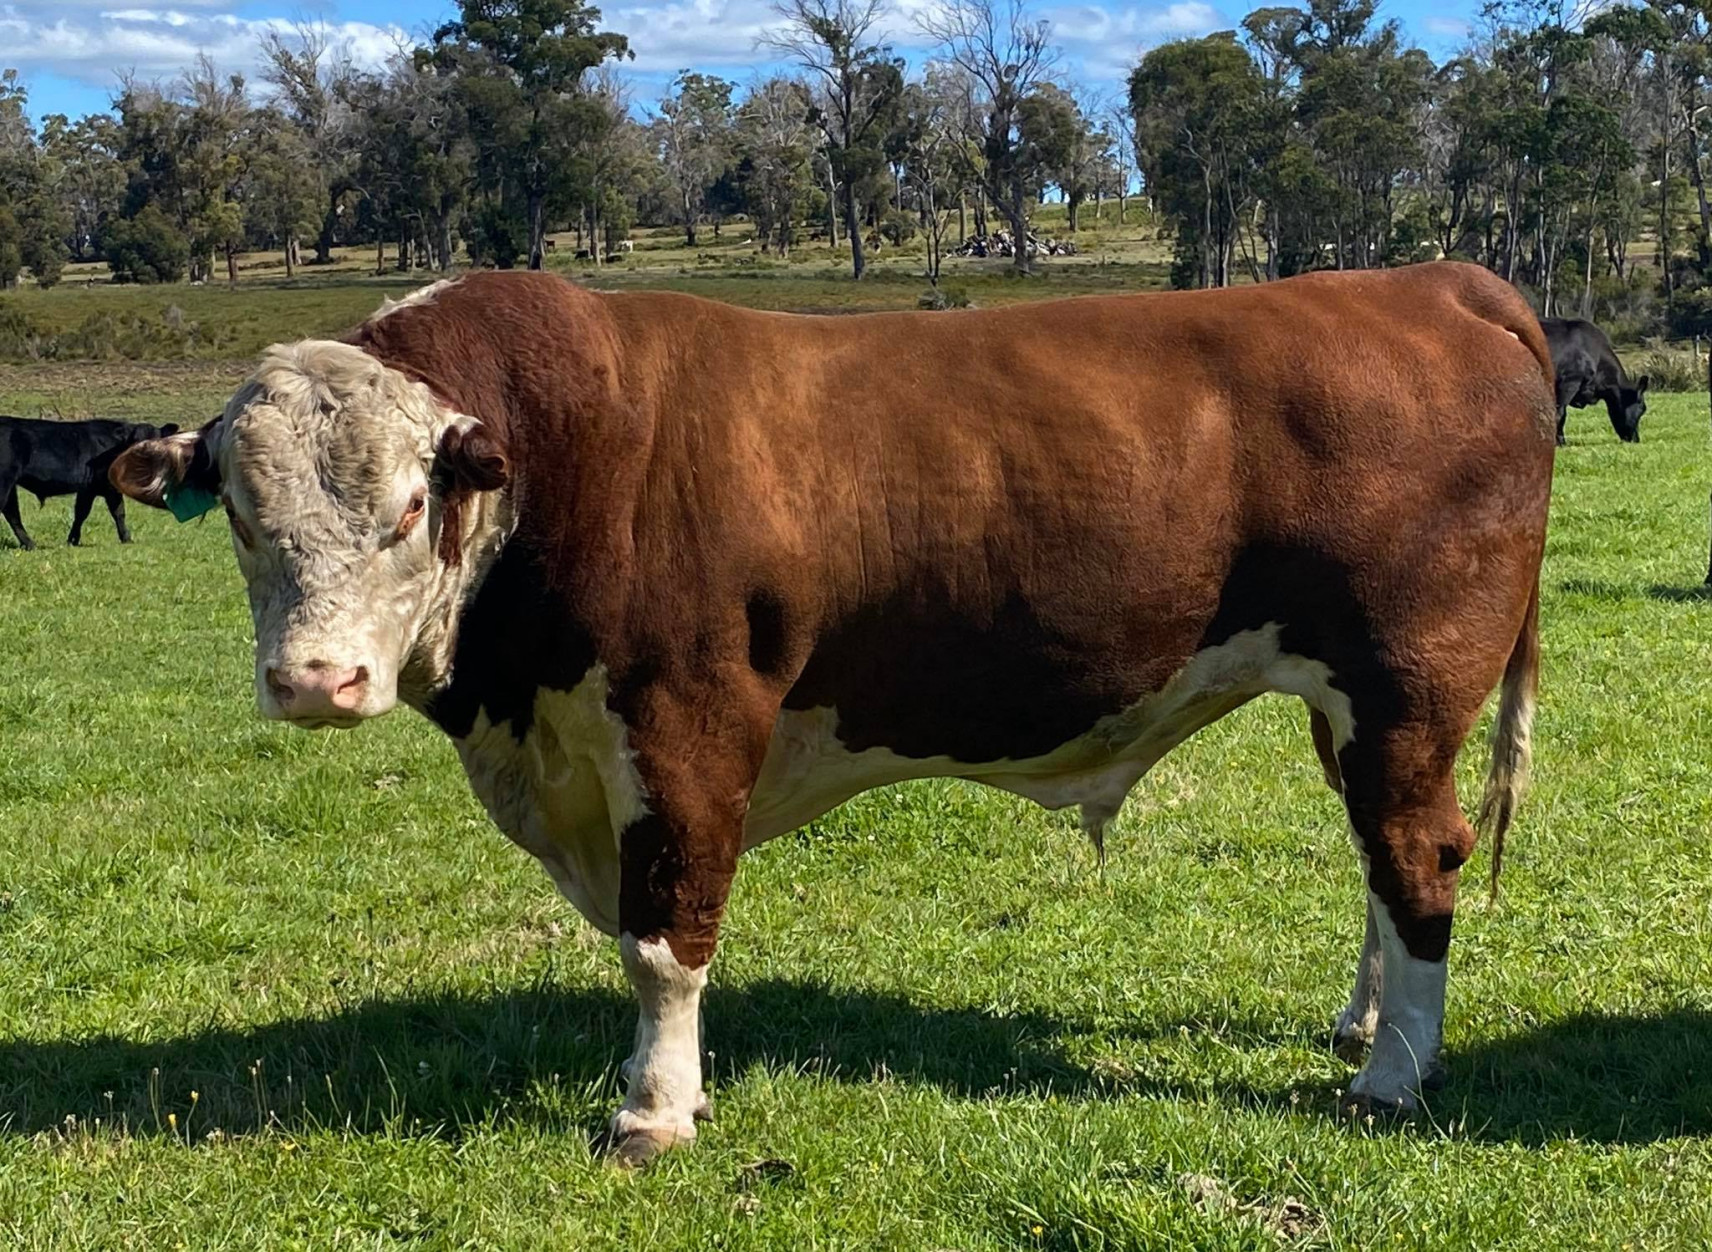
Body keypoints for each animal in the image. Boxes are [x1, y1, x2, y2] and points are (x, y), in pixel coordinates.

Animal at [1, 416, 179, 550]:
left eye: (158, 441)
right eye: (134, 441)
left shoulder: (91, 488)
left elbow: (88, 513)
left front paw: (73, 540)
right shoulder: (104, 487)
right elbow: (109, 512)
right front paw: (126, 538)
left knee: (12, 513)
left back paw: (29, 544)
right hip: (5, 480)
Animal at [111, 264, 1555, 1164]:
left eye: (411, 504)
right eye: (240, 514)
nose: (314, 682)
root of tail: (1431, 282)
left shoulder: (687, 726)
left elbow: (662, 943)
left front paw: (654, 1112)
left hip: (1406, 677)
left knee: (1417, 858)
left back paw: (1391, 1077)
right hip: (1354, 708)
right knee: (1380, 859)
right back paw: (1364, 1024)